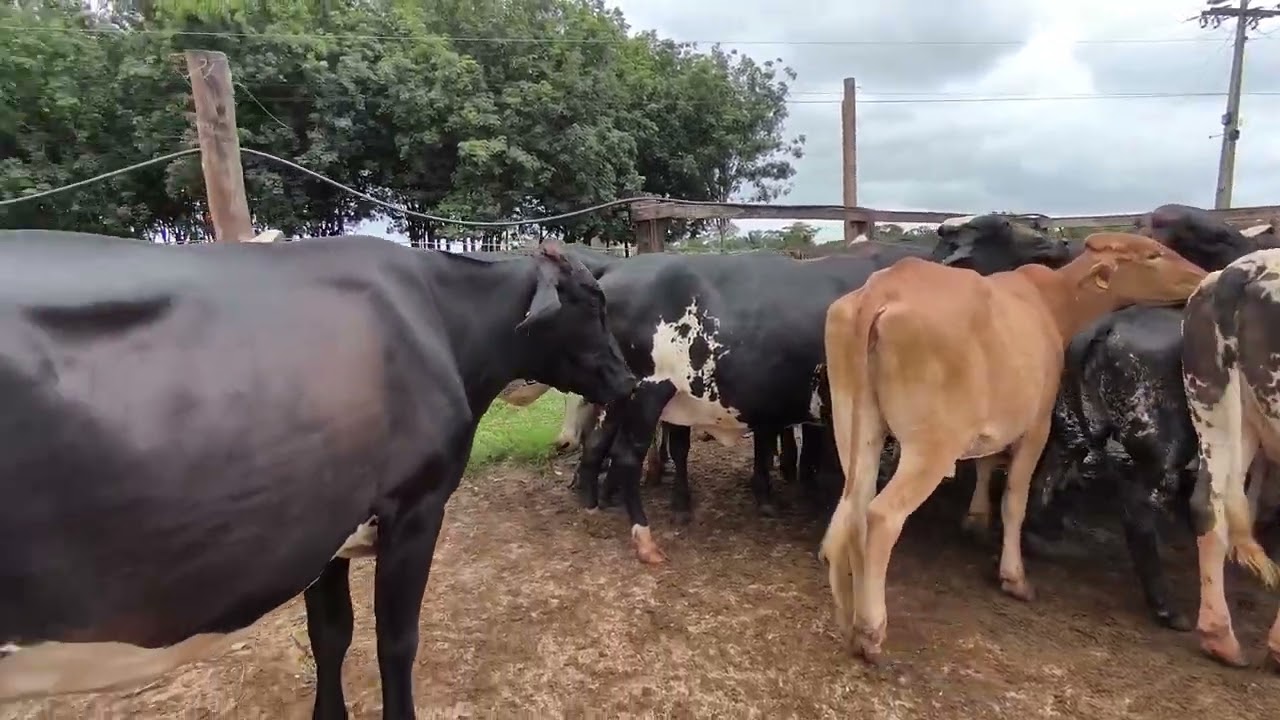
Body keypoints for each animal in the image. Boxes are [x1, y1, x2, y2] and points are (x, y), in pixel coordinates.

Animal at [0, 231, 634, 718]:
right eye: (594, 302)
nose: (627, 379)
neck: (443, 326)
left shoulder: (328, 526)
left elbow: (331, 636)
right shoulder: (416, 507)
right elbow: (395, 641)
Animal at [574, 215, 1073, 563]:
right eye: (1005, 225)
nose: (1063, 240)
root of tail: (610, 276)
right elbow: (840, 470)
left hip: (621, 396)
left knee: (599, 443)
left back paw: (591, 503)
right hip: (647, 393)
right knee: (625, 456)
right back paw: (644, 539)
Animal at [818, 232, 1206, 664]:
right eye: (1154, 254)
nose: (1203, 275)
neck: (1054, 303)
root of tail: (882, 290)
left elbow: (988, 464)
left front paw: (975, 519)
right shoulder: (1036, 425)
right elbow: (1015, 500)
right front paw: (1014, 576)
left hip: (855, 422)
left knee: (852, 505)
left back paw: (846, 618)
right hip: (931, 443)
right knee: (882, 516)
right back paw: (871, 632)